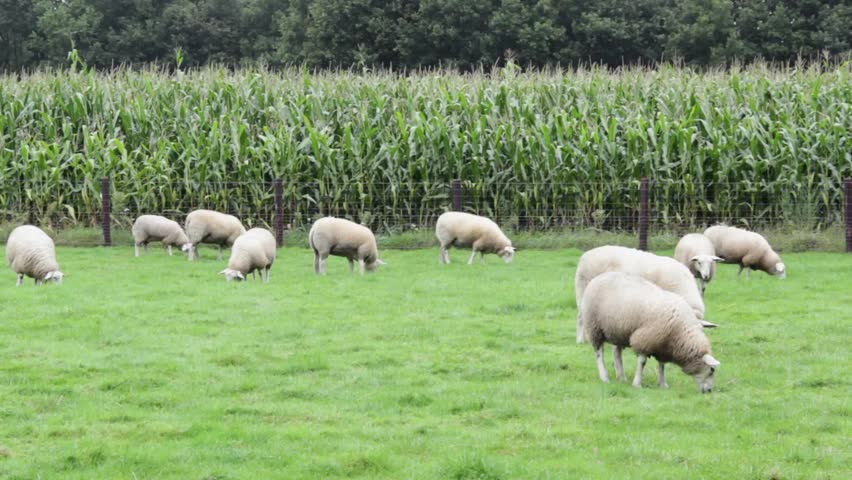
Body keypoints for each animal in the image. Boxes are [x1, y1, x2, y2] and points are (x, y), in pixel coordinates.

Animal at [581, 271, 721, 393]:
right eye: (712, 369)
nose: (709, 391)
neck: (681, 332)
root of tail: (599, 277)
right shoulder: (645, 339)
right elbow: (642, 362)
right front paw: (637, 383)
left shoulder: (663, 346)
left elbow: (662, 366)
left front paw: (663, 384)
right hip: (594, 327)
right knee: (599, 353)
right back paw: (604, 377)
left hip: (619, 329)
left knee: (617, 353)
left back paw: (622, 377)